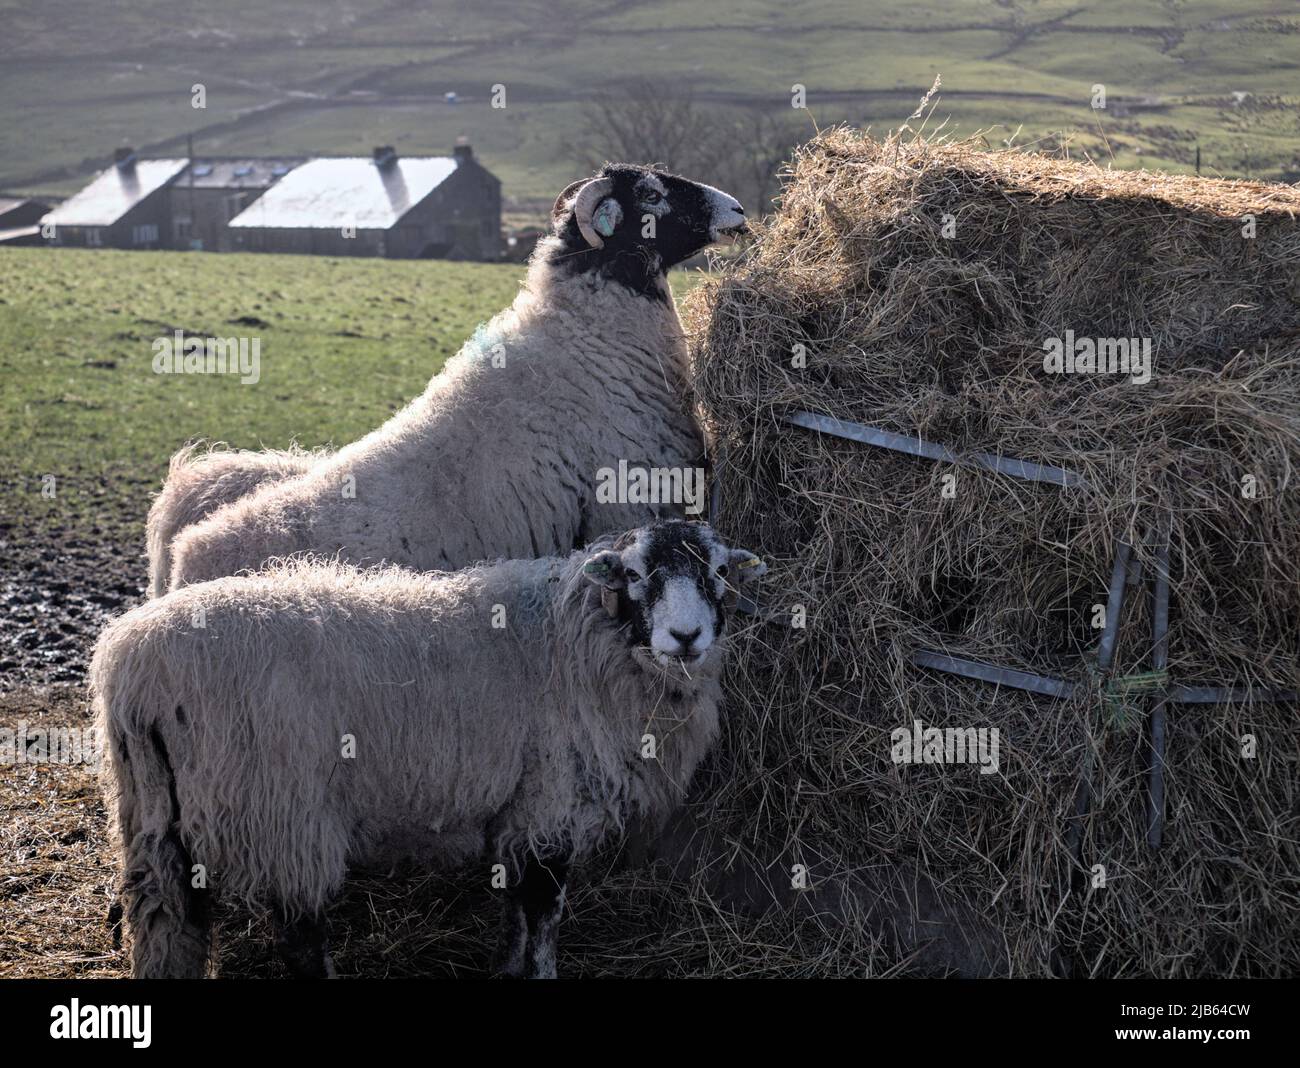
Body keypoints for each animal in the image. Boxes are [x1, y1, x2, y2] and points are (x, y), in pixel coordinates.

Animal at [93, 519, 766, 978]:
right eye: (634, 574)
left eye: (717, 572)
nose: (686, 636)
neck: (574, 638)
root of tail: (136, 665)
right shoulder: (550, 803)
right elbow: (544, 910)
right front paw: (539, 972)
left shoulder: (516, 812)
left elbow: (515, 906)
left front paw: (504, 967)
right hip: (281, 816)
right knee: (300, 936)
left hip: (153, 818)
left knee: (165, 922)